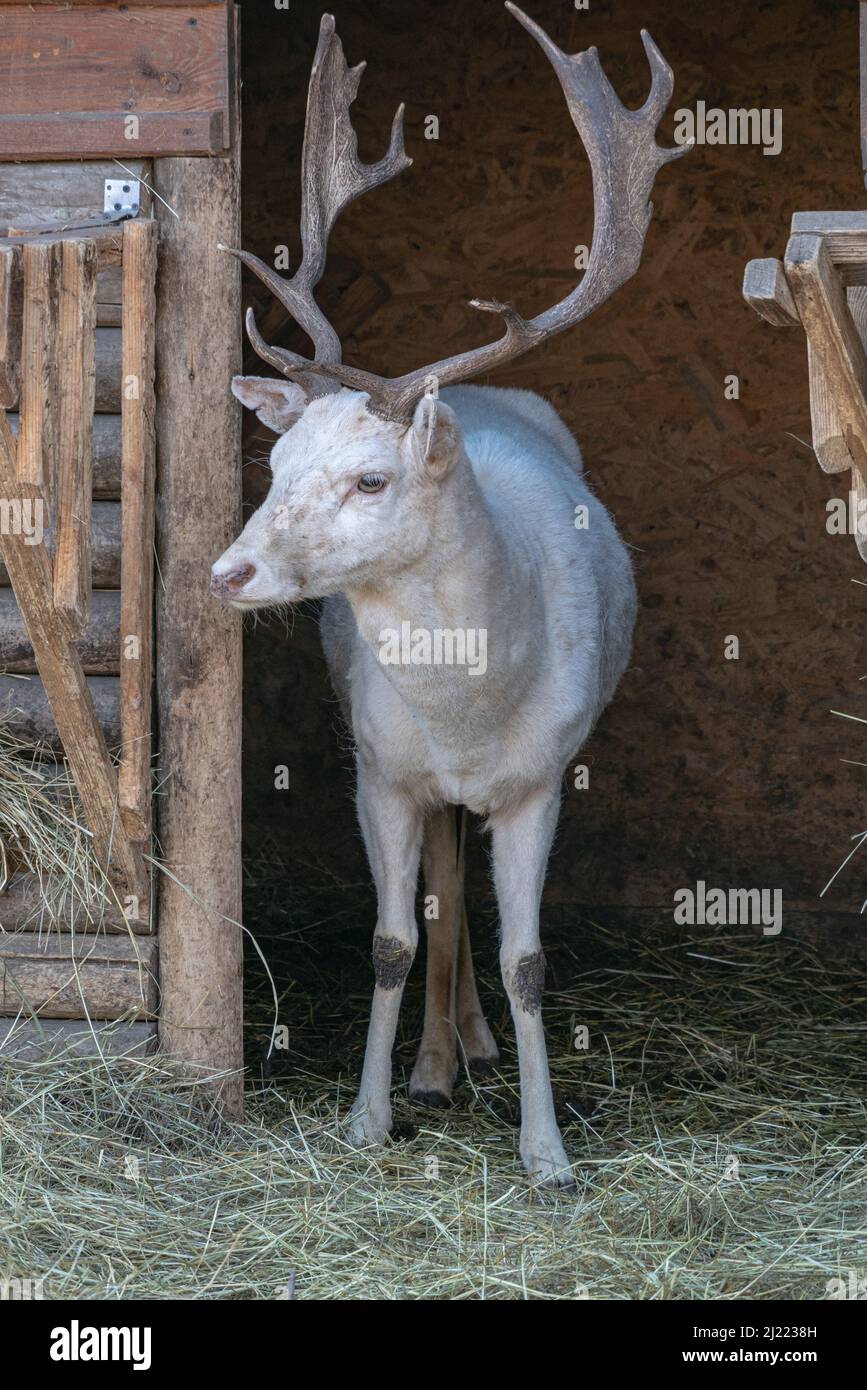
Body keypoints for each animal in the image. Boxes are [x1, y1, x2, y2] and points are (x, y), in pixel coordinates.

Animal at [211, 6, 688, 1185]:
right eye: (275, 462)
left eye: (371, 479)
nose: (227, 572)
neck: (474, 705)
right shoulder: (379, 768)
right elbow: (390, 936)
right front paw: (367, 1114)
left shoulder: (543, 777)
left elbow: (529, 960)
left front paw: (548, 1153)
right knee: (438, 878)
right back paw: (438, 1060)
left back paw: (469, 1049)